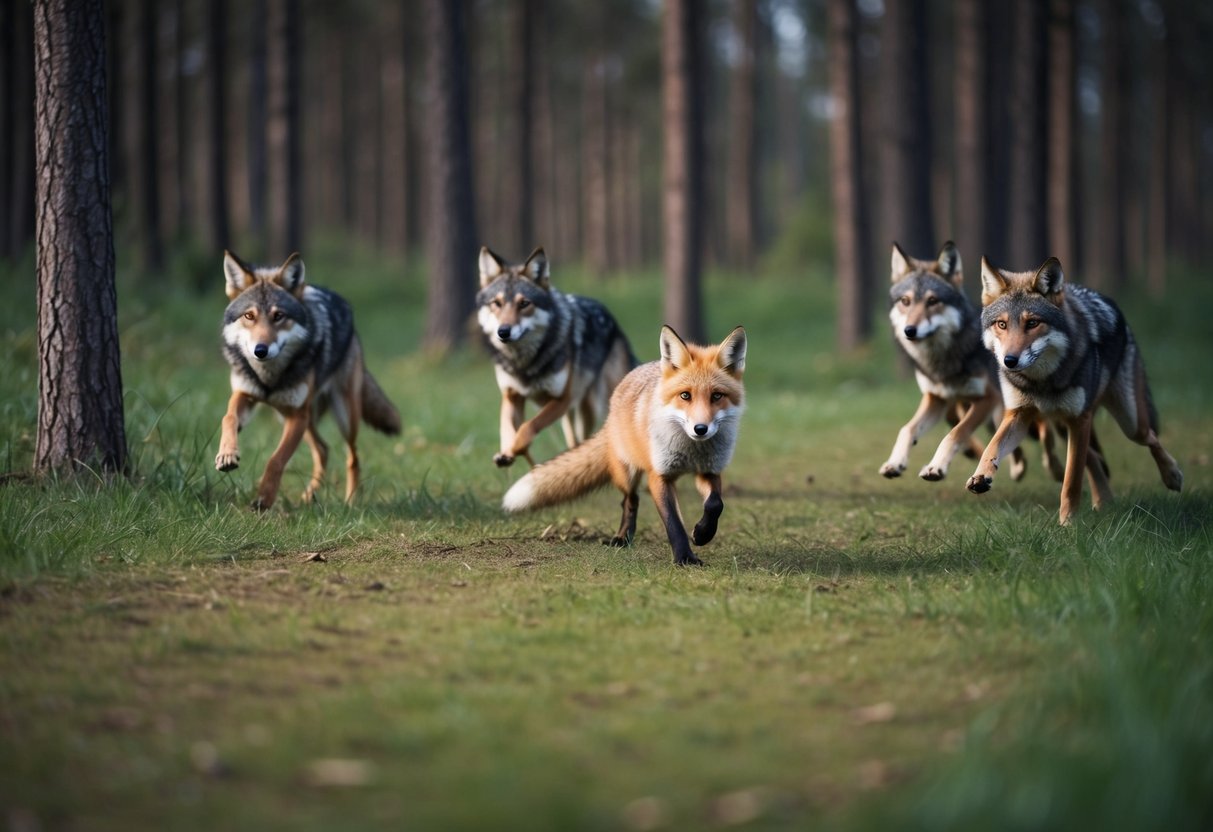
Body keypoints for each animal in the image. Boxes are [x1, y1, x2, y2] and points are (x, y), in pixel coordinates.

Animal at [215, 251, 401, 510]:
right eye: (249, 316)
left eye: (278, 316)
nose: (260, 350)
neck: (270, 378)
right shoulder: (246, 396)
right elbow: (228, 418)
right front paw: (227, 455)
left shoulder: (298, 415)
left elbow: (276, 460)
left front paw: (264, 499)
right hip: (290, 417)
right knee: (323, 450)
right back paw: (308, 497)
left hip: (342, 416)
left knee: (352, 456)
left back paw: (351, 501)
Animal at [477, 246, 636, 468]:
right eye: (497, 303)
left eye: (524, 303)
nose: (503, 332)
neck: (525, 364)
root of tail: (614, 323)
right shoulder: (511, 395)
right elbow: (507, 427)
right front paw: (506, 452)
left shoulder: (562, 399)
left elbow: (527, 427)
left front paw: (517, 448)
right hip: (570, 416)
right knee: (574, 442)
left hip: (591, 407)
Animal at [503, 326, 747, 566]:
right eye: (685, 395)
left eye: (717, 396)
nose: (700, 429)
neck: (691, 451)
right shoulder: (659, 475)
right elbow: (673, 523)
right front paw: (684, 558)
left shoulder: (709, 470)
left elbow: (715, 504)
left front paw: (702, 533)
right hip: (627, 472)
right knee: (630, 500)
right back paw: (622, 538)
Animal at [966, 256, 1183, 525]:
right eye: (1002, 324)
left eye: (1032, 323)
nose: (1009, 361)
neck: (1042, 382)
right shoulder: (1018, 415)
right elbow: (991, 448)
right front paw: (980, 476)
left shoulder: (1080, 419)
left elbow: (1071, 481)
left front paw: (1067, 523)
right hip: (1067, 424)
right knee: (1095, 458)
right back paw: (1104, 502)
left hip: (1129, 423)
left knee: (1150, 437)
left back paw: (1172, 476)